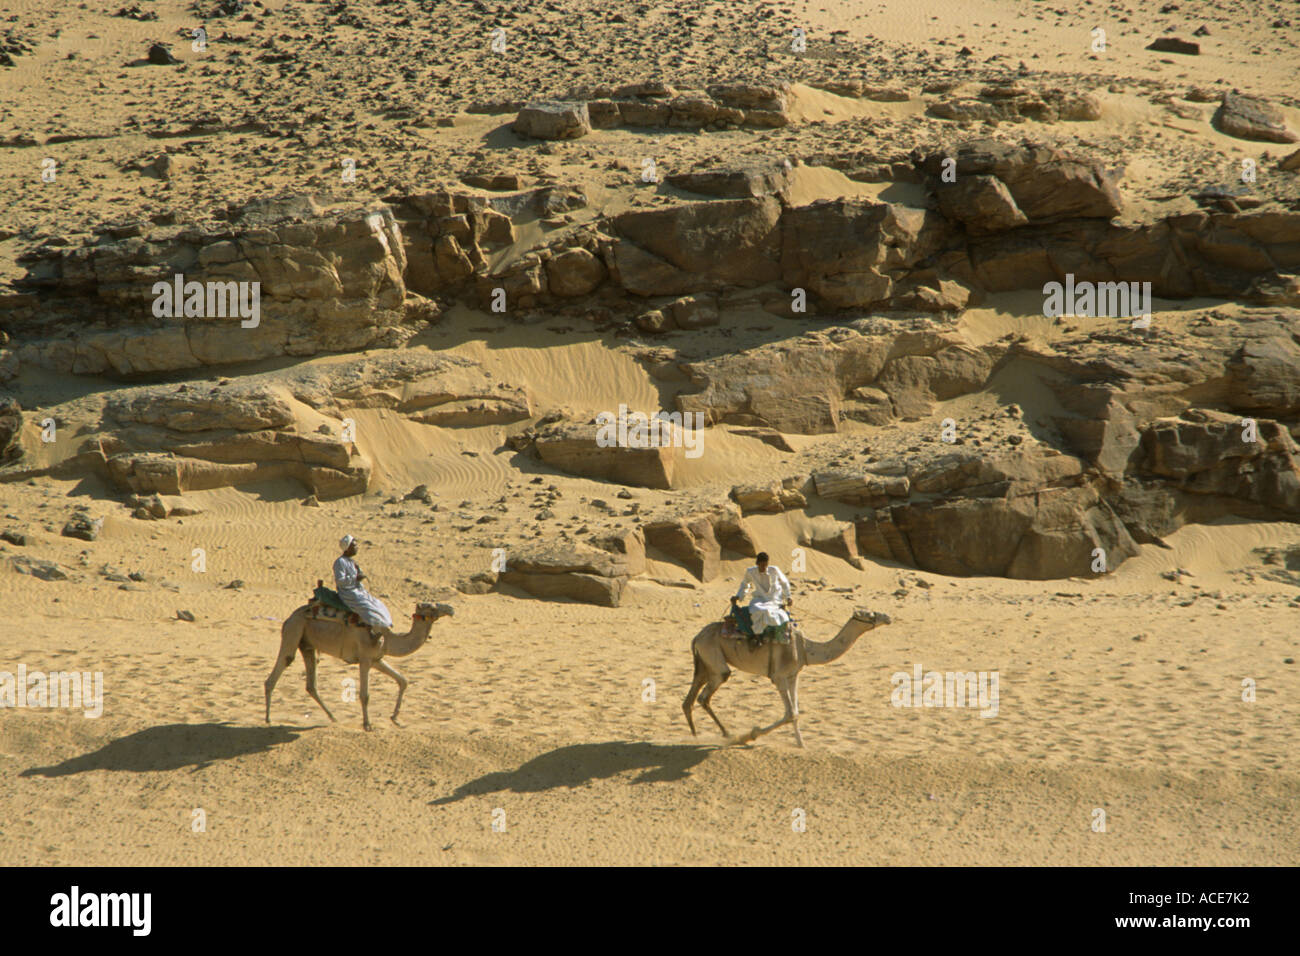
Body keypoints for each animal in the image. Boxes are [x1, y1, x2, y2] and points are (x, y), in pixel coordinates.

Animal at [265, 599, 454, 731]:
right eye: (432, 607)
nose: (451, 609)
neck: (388, 638)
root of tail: (288, 618)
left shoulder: (376, 659)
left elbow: (403, 680)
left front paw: (395, 719)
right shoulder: (364, 659)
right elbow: (365, 695)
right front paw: (368, 725)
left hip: (307, 645)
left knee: (311, 684)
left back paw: (333, 717)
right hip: (294, 630)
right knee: (282, 665)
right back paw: (268, 719)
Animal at [682, 606, 891, 747]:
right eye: (870, 614)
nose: (887, 617)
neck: (805, 649)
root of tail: (696, 637)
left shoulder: (793, 675)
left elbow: (796, 712)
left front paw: (802, 745)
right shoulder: (779, 677)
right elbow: (790, 713)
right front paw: (753, 733)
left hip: (704, 663)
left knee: (690, 699)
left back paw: (696, 736)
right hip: (714, 660)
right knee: (705, 695)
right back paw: (726, 734)